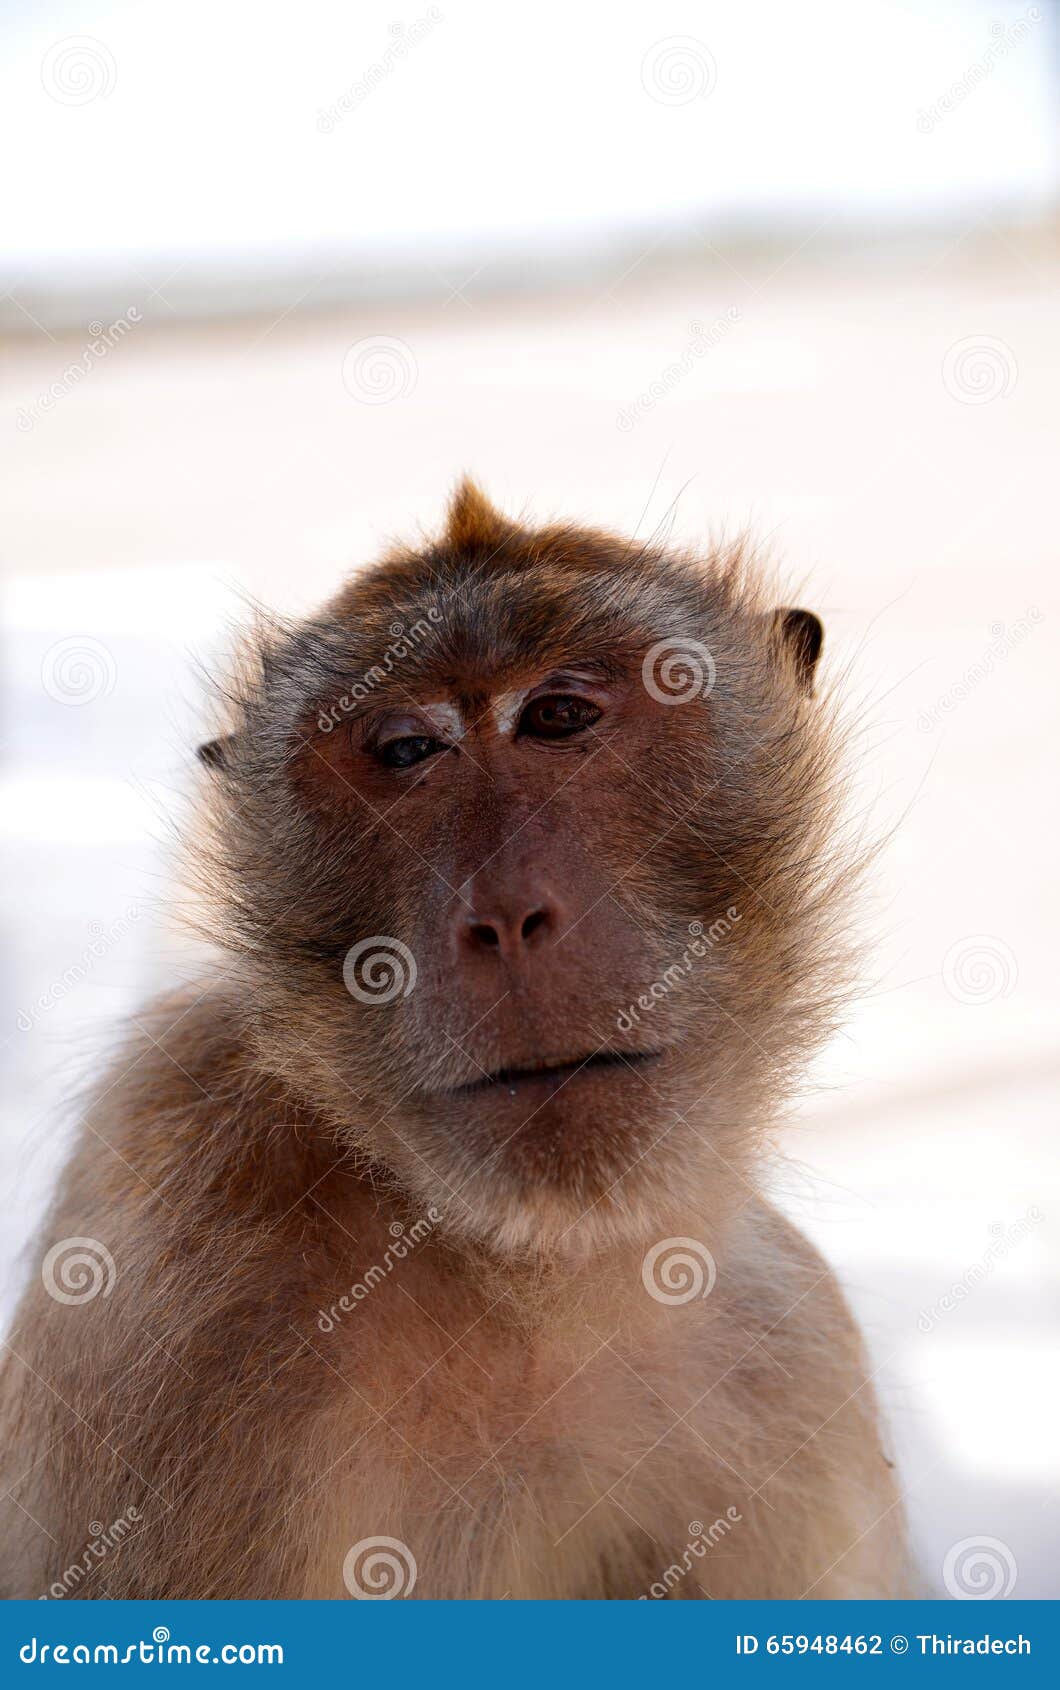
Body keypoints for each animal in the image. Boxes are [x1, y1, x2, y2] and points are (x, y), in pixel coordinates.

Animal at [0, 482, 911, 1600]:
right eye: (405, 752)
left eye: (558, 717)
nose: (507, 912)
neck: (530, 1289)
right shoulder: (167, 1273)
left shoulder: (794, 1369)